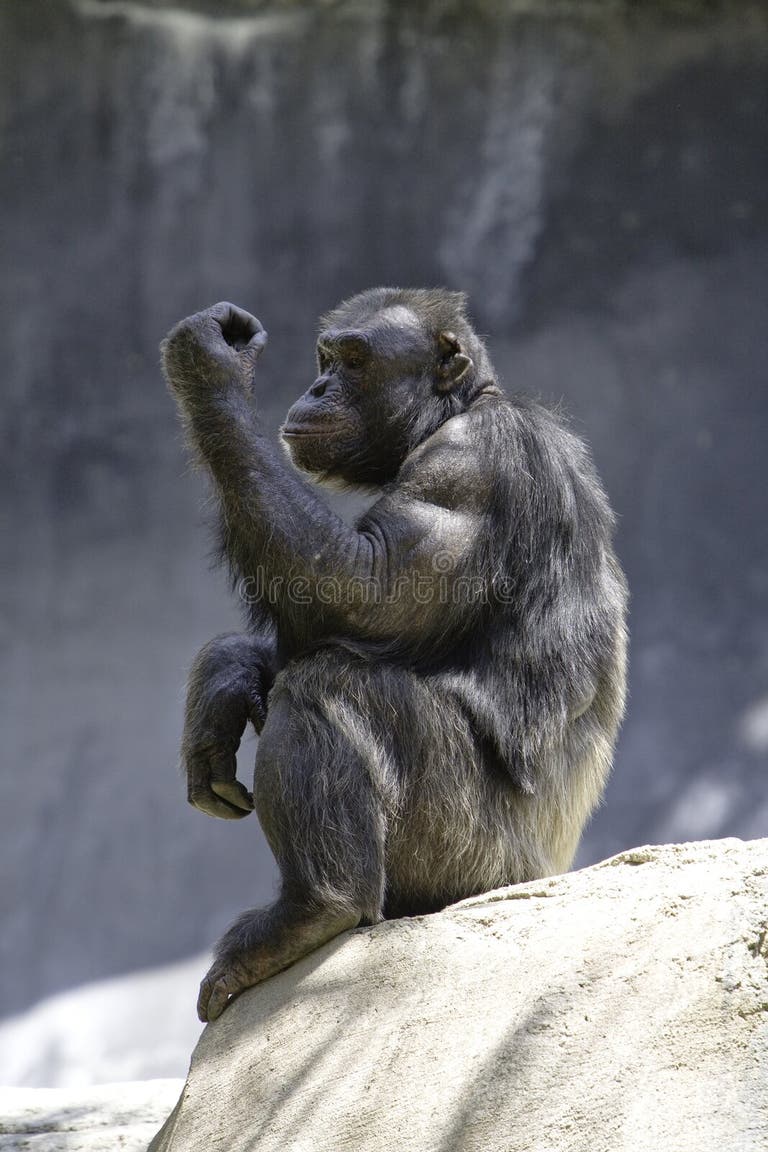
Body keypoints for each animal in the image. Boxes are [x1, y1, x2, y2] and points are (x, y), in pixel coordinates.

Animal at [160, 288, 627, 1022]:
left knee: (330, 685)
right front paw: (224, 677)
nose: (318, 387)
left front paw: (210, 369)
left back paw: (312, 910)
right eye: (326, 359)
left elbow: (364, 588)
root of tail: (548, 872)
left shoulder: (465, 469)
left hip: (467, 854)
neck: (456, 412)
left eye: (353, 361)